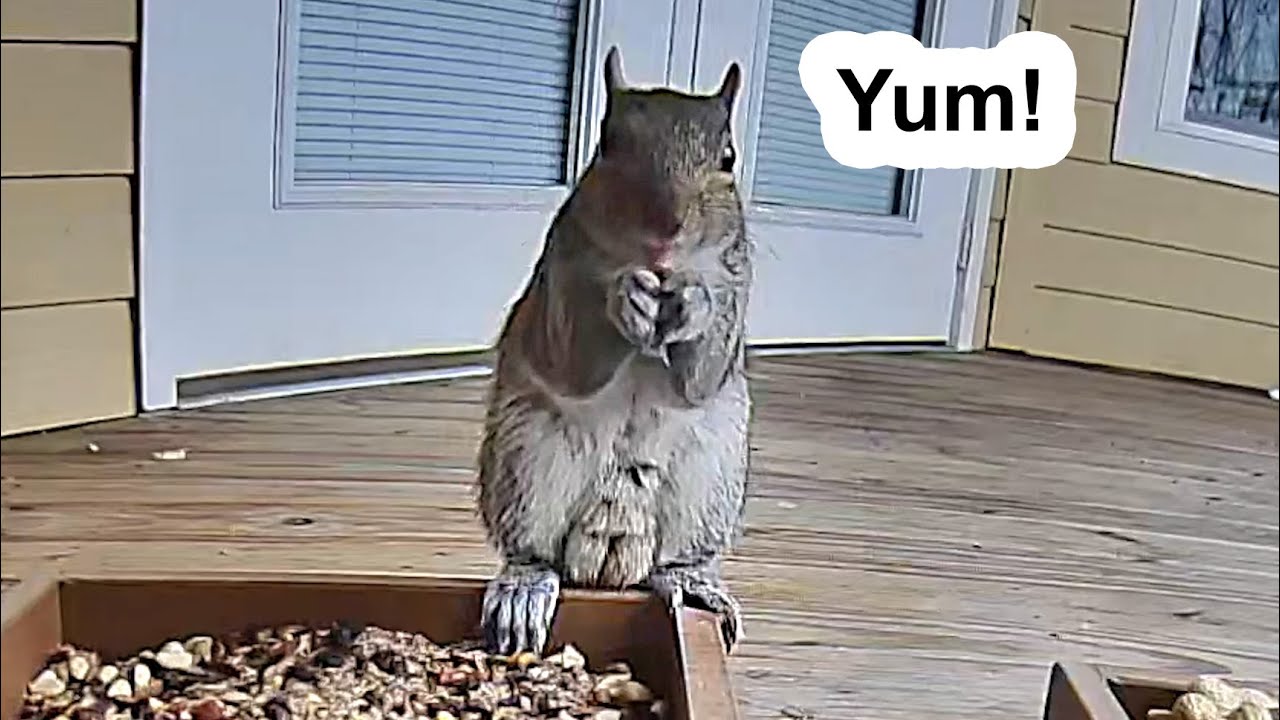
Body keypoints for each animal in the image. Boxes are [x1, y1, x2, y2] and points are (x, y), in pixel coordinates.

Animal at [474, 45, 753, 657]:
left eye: (728, 157)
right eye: (605, 145)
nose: (665, 232)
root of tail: (610, 565)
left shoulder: (737, 286)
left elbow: (700, 377)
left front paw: (693, 302)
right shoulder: (557, 279)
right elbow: (572, 361)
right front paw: (624, 294)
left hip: (708, 481)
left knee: (673, 562)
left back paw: (691, 582)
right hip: (528, 465)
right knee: (534, 552)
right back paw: (524, 590)